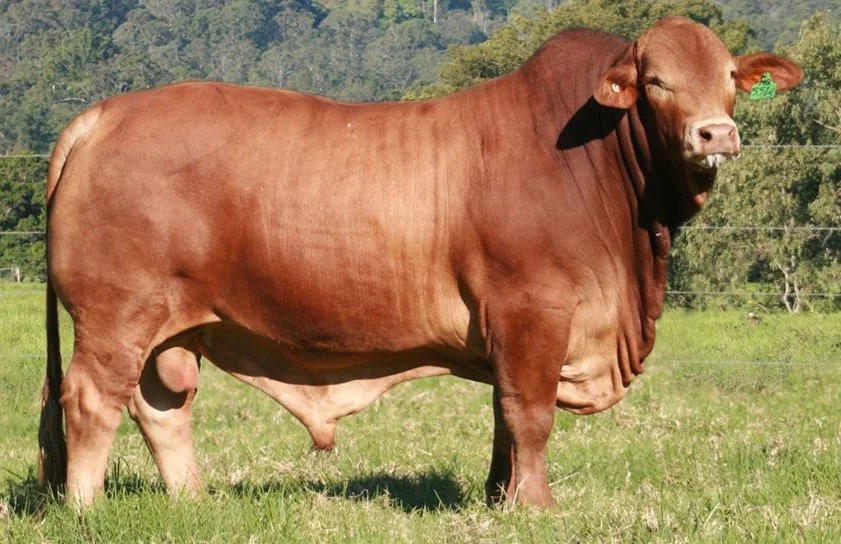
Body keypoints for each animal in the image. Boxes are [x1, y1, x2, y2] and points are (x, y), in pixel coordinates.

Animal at [38, 16, 803, 509]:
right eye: (657, 82)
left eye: (729, 76)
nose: (716, 134)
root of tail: (108, 113)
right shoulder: (533, 310)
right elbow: (529, 413)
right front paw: (535, 507)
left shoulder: (512, 329)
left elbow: (503, 418)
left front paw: (499, 497)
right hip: (114, 316)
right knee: (90, 401)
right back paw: (86, 508)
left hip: (171, 326)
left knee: (161, 405)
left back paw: (193, 503)